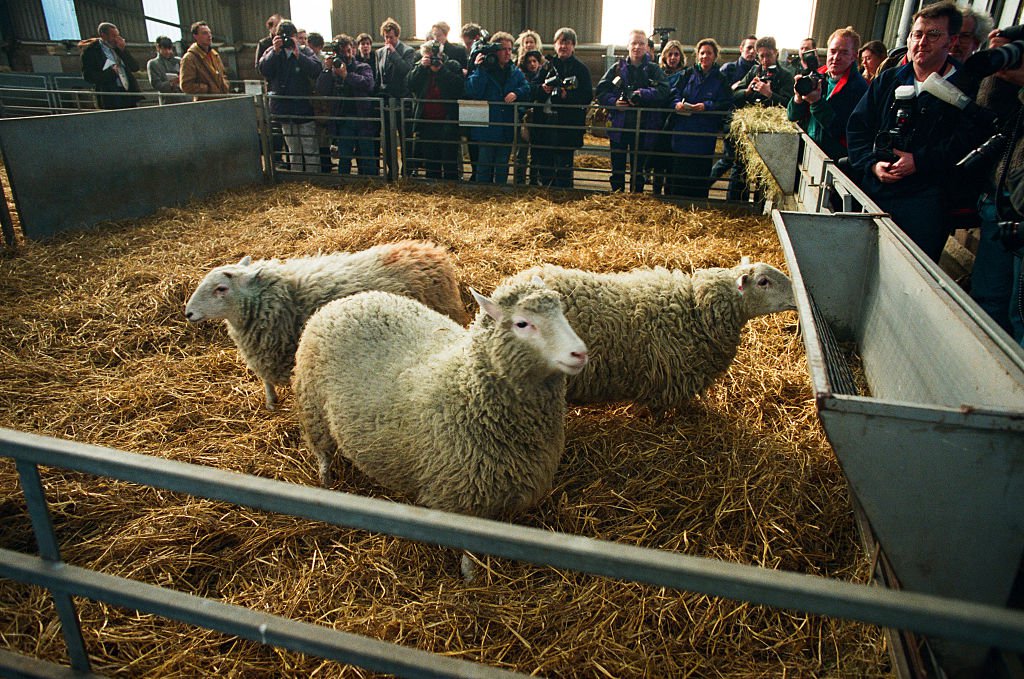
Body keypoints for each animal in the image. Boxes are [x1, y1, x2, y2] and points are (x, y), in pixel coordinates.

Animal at [291, 278, 588, 577]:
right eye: (522, 323)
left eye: (562, 312)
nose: (580, 353)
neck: (466, 387)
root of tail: (348, 301)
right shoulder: (462, 494)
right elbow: (469, 547)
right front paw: (470, 575)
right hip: (313, 405)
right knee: (323, 452)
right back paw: (325, 483)